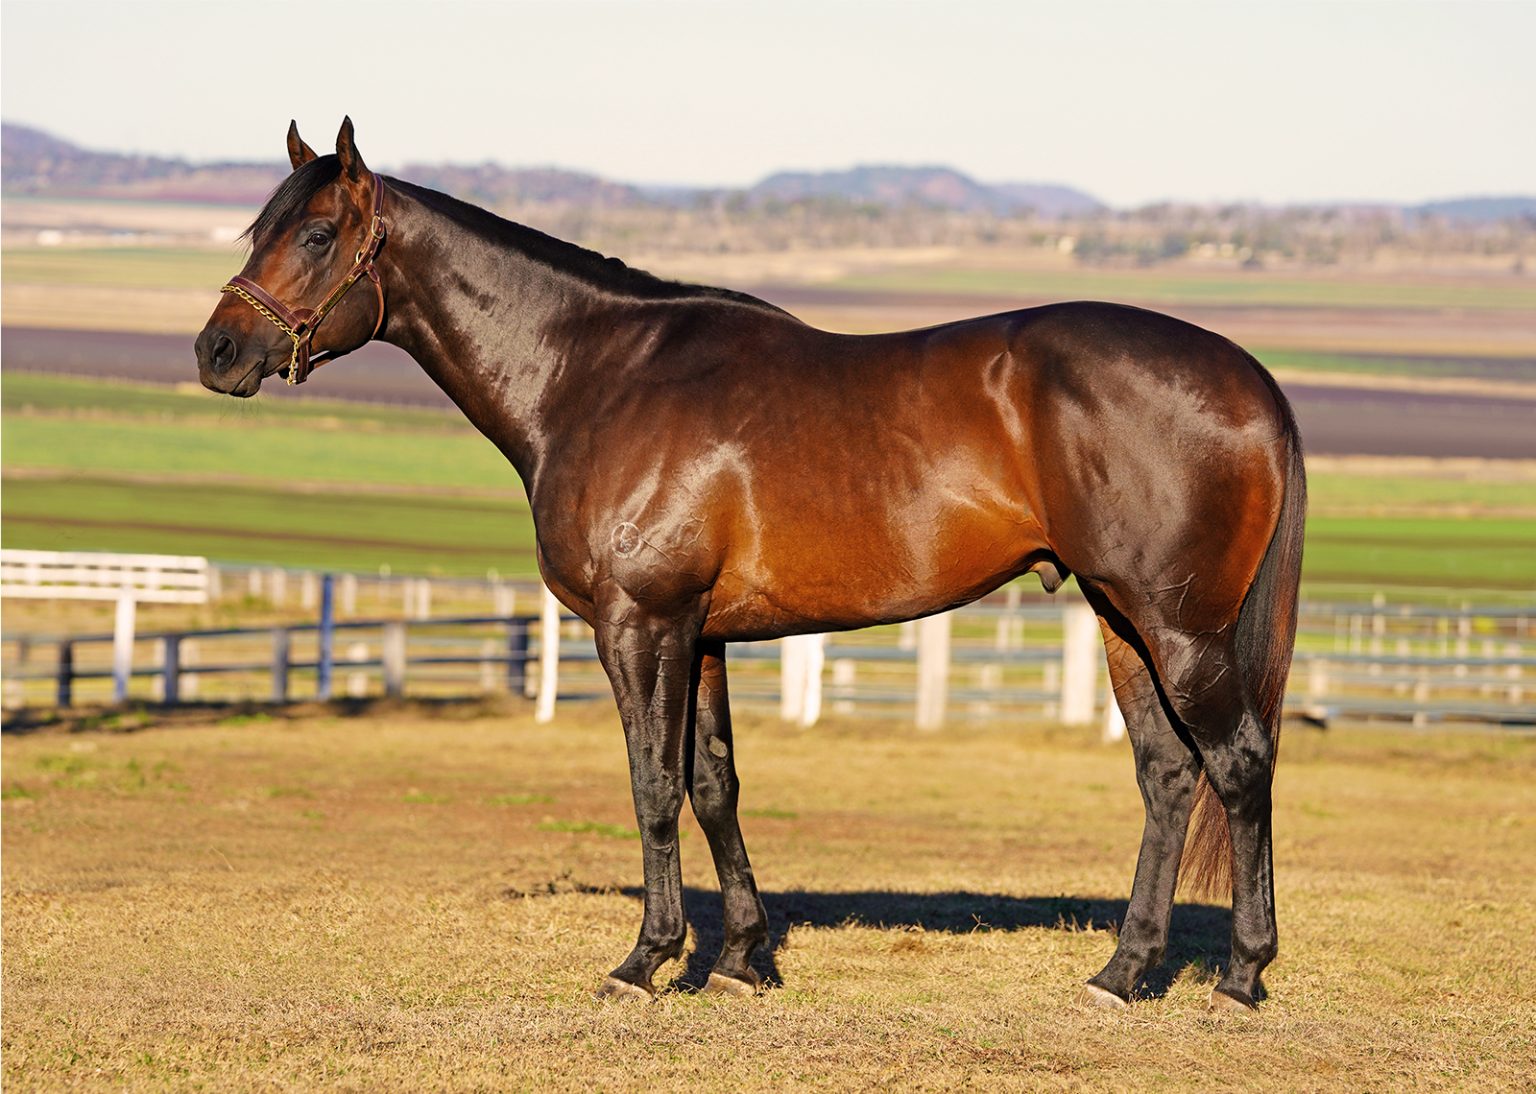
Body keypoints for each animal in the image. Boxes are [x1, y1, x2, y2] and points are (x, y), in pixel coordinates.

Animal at [196, 119, 1305, 1013]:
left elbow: (652, 784)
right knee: (1168, 776)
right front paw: (741, 958)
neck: (597, 376)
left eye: (317, 235)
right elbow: (714, 782)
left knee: (1239, 764)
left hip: (1180, 627)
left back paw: (1242, 974)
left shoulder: (640, 622)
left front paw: (646, 959)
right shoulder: (703, 633)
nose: (216, 352)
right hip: (1124, 622)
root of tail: (1249, 376)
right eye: (259, 230)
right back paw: (1123, 971)